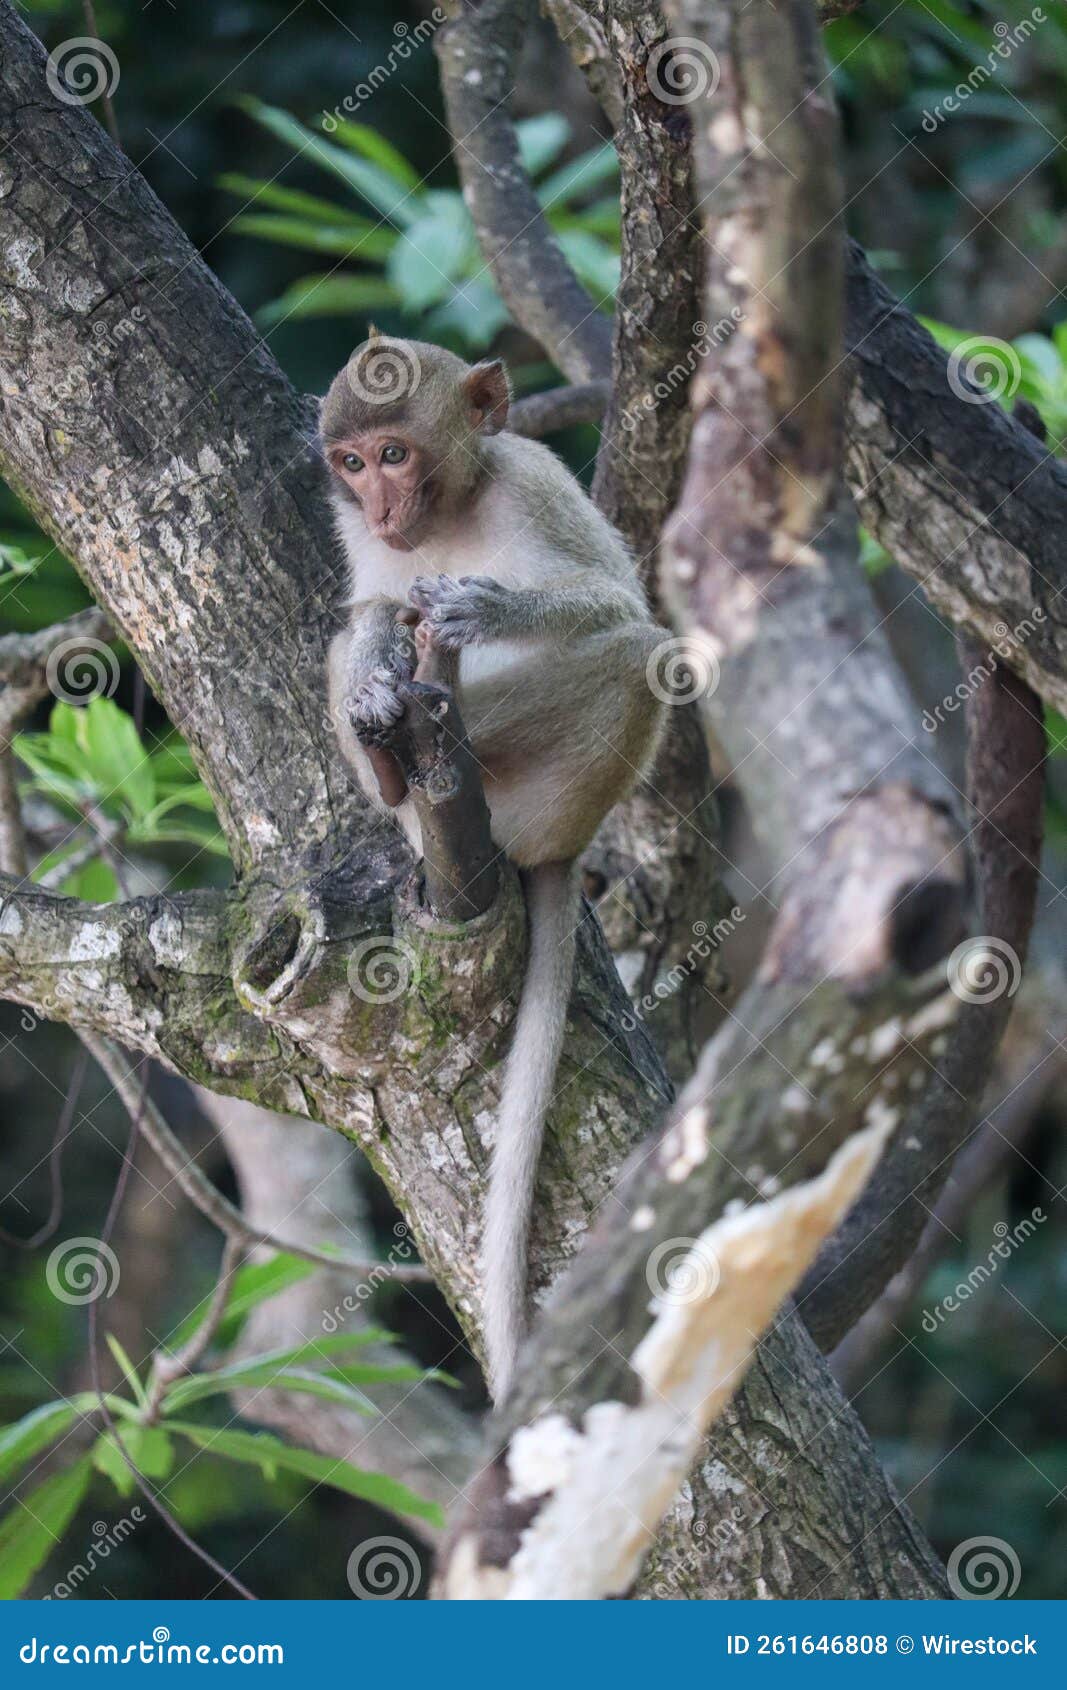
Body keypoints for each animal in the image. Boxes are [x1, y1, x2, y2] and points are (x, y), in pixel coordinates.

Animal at [322, 334, 667, 1402]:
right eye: (352, 464)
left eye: (395, 454)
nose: (381, 508)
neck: (452, 508)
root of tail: (551, 848)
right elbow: (367, 606)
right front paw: (378, 672)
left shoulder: (534, 476)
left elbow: (618, 602)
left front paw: (482, 604)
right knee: (355, 643)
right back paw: (388, 745)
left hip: (553, 795)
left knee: (635, 649)